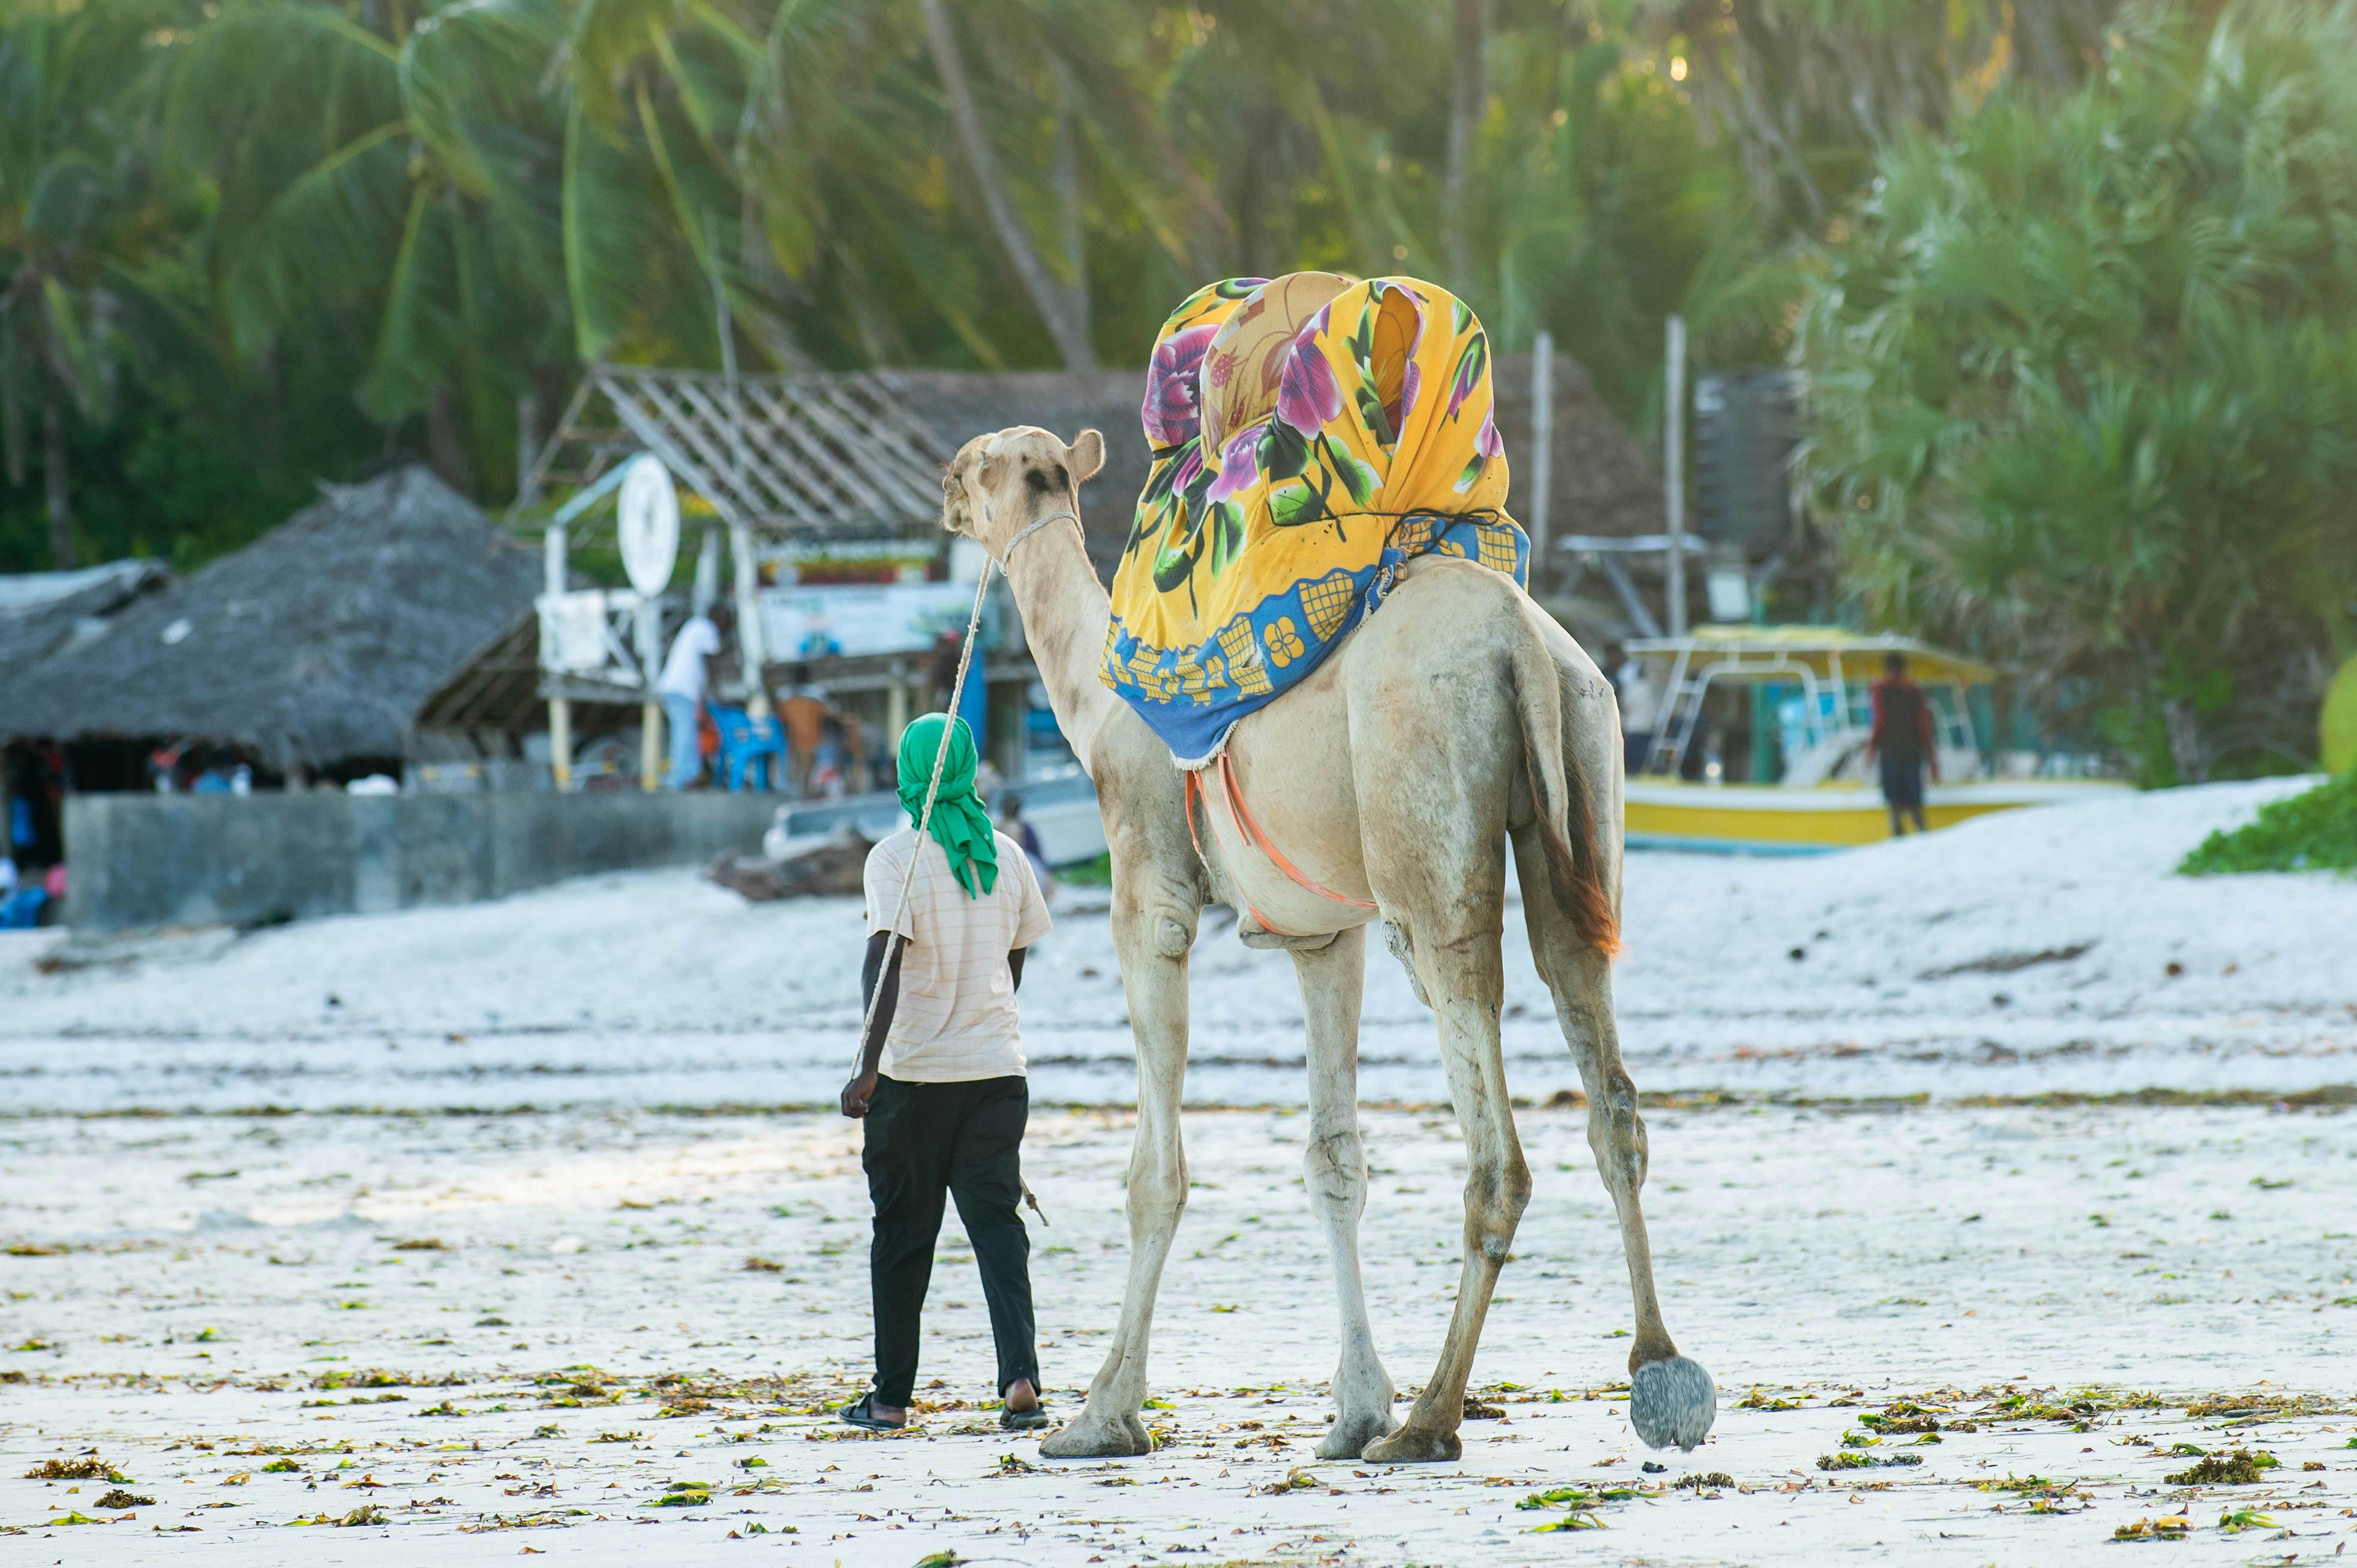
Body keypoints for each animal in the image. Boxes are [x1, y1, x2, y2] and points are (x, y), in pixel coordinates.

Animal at [938, 424, 1716, 1464]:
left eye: (980, 463)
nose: (943, 487)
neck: (1092, 710)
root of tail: (1519, 639)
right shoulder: (1320, 936)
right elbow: (1334, 1158)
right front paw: (1351, 1409)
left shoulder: (1152, 898)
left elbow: (1154, 1174)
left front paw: (1102, 1414)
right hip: (1586, 773)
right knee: (1605, 1074)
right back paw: (1656, 1367)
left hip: (1426, 847)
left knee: (1496, 1144)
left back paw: (1431, 1419)